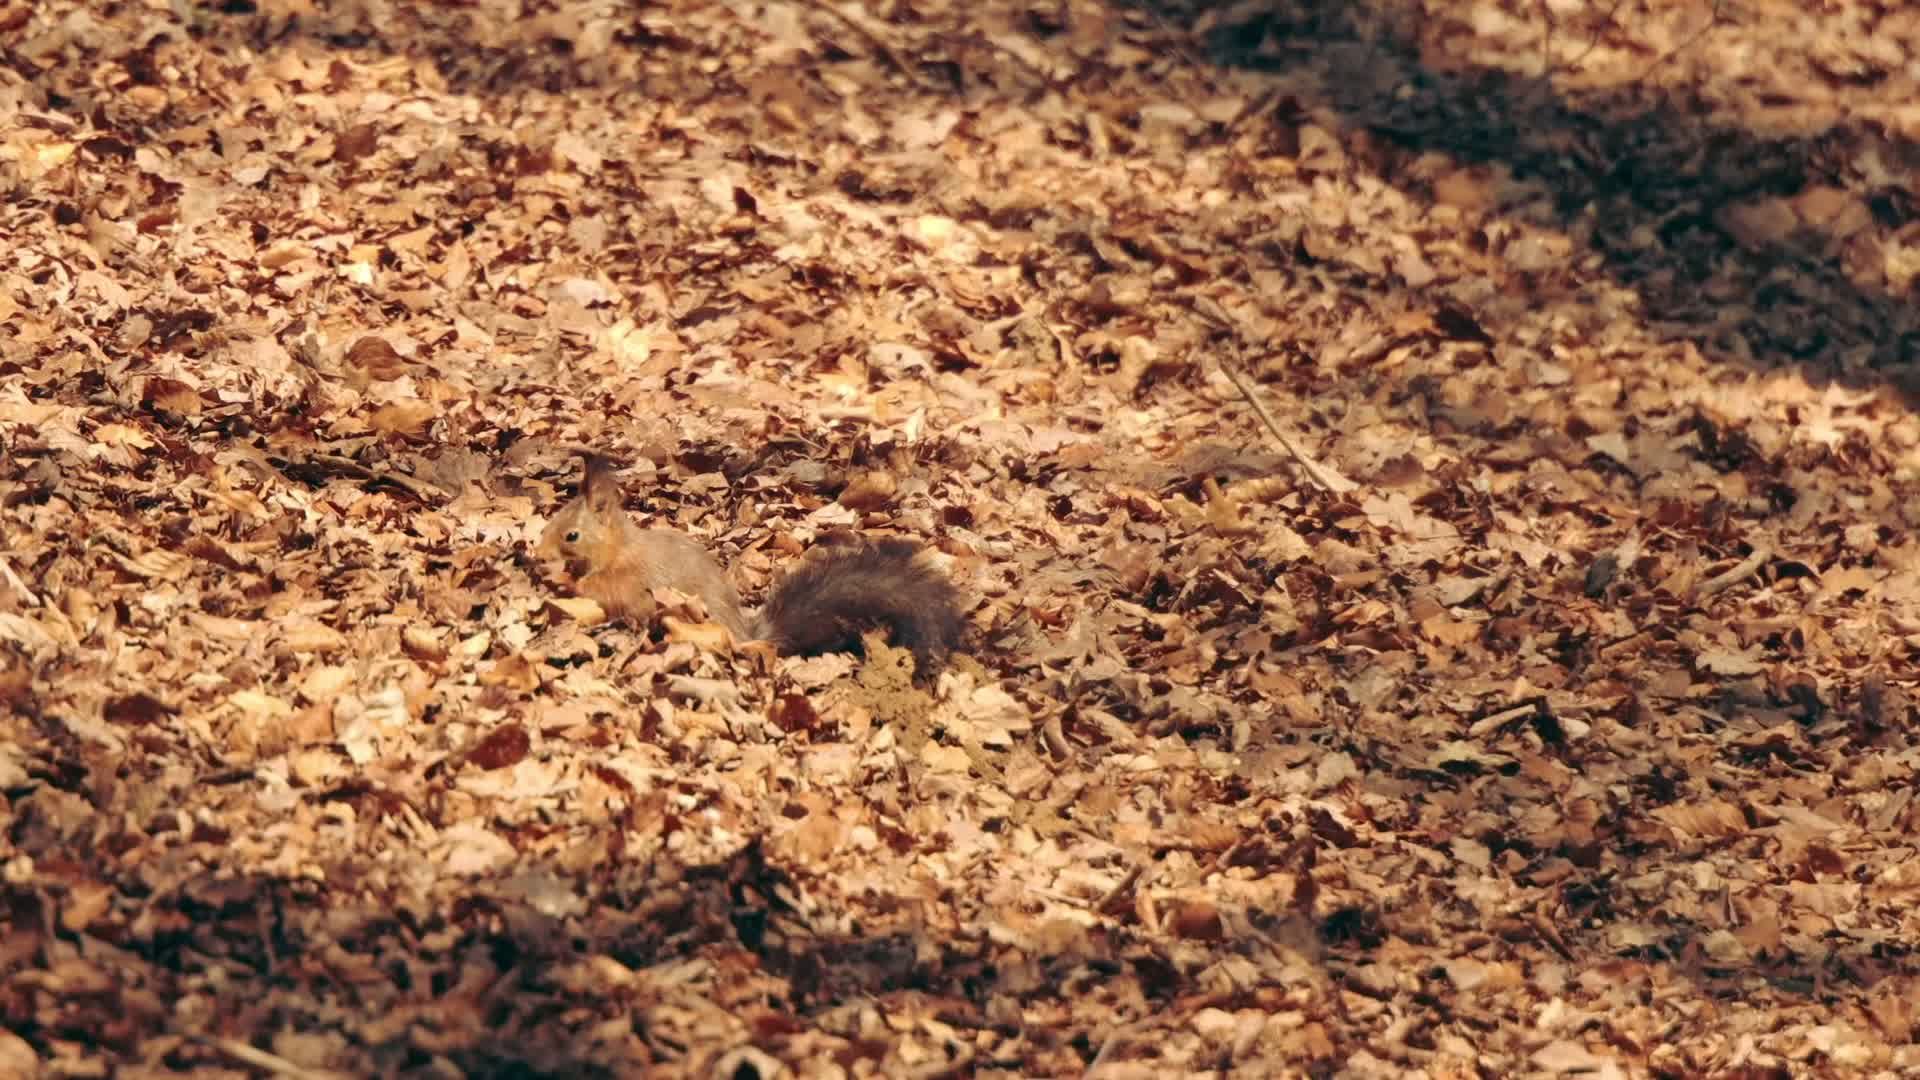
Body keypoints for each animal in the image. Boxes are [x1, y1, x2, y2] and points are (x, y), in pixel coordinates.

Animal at [536, 454, 965, 678]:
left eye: (571, 535)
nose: (539, 553)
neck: (619, 548)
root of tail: (747, 636)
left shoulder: (629, 580)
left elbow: (601, 592)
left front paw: (560, 579)